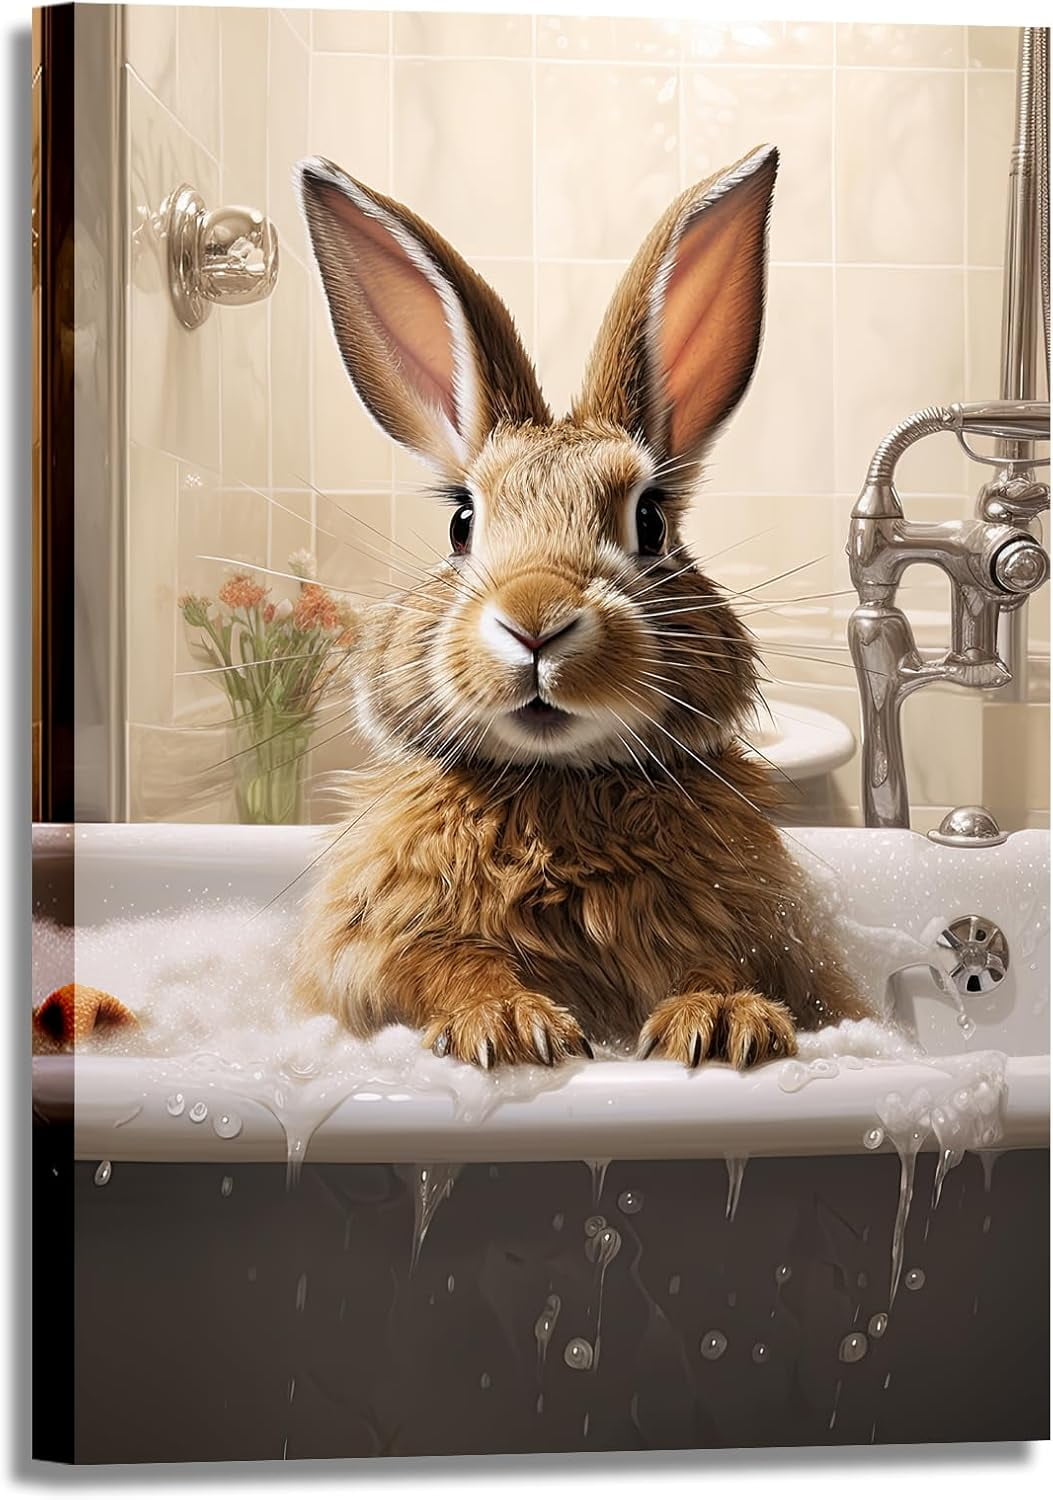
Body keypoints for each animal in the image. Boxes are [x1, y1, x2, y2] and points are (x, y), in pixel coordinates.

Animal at [292, 143, 864, 1071]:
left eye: (650, 521)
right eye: (460, 522)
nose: (535, 619)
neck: (557, 789)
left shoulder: (751, 929)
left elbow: (712, 962)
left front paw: (721, 1023)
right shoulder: (377, 945)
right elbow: (445, 964)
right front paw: (507, 1024)